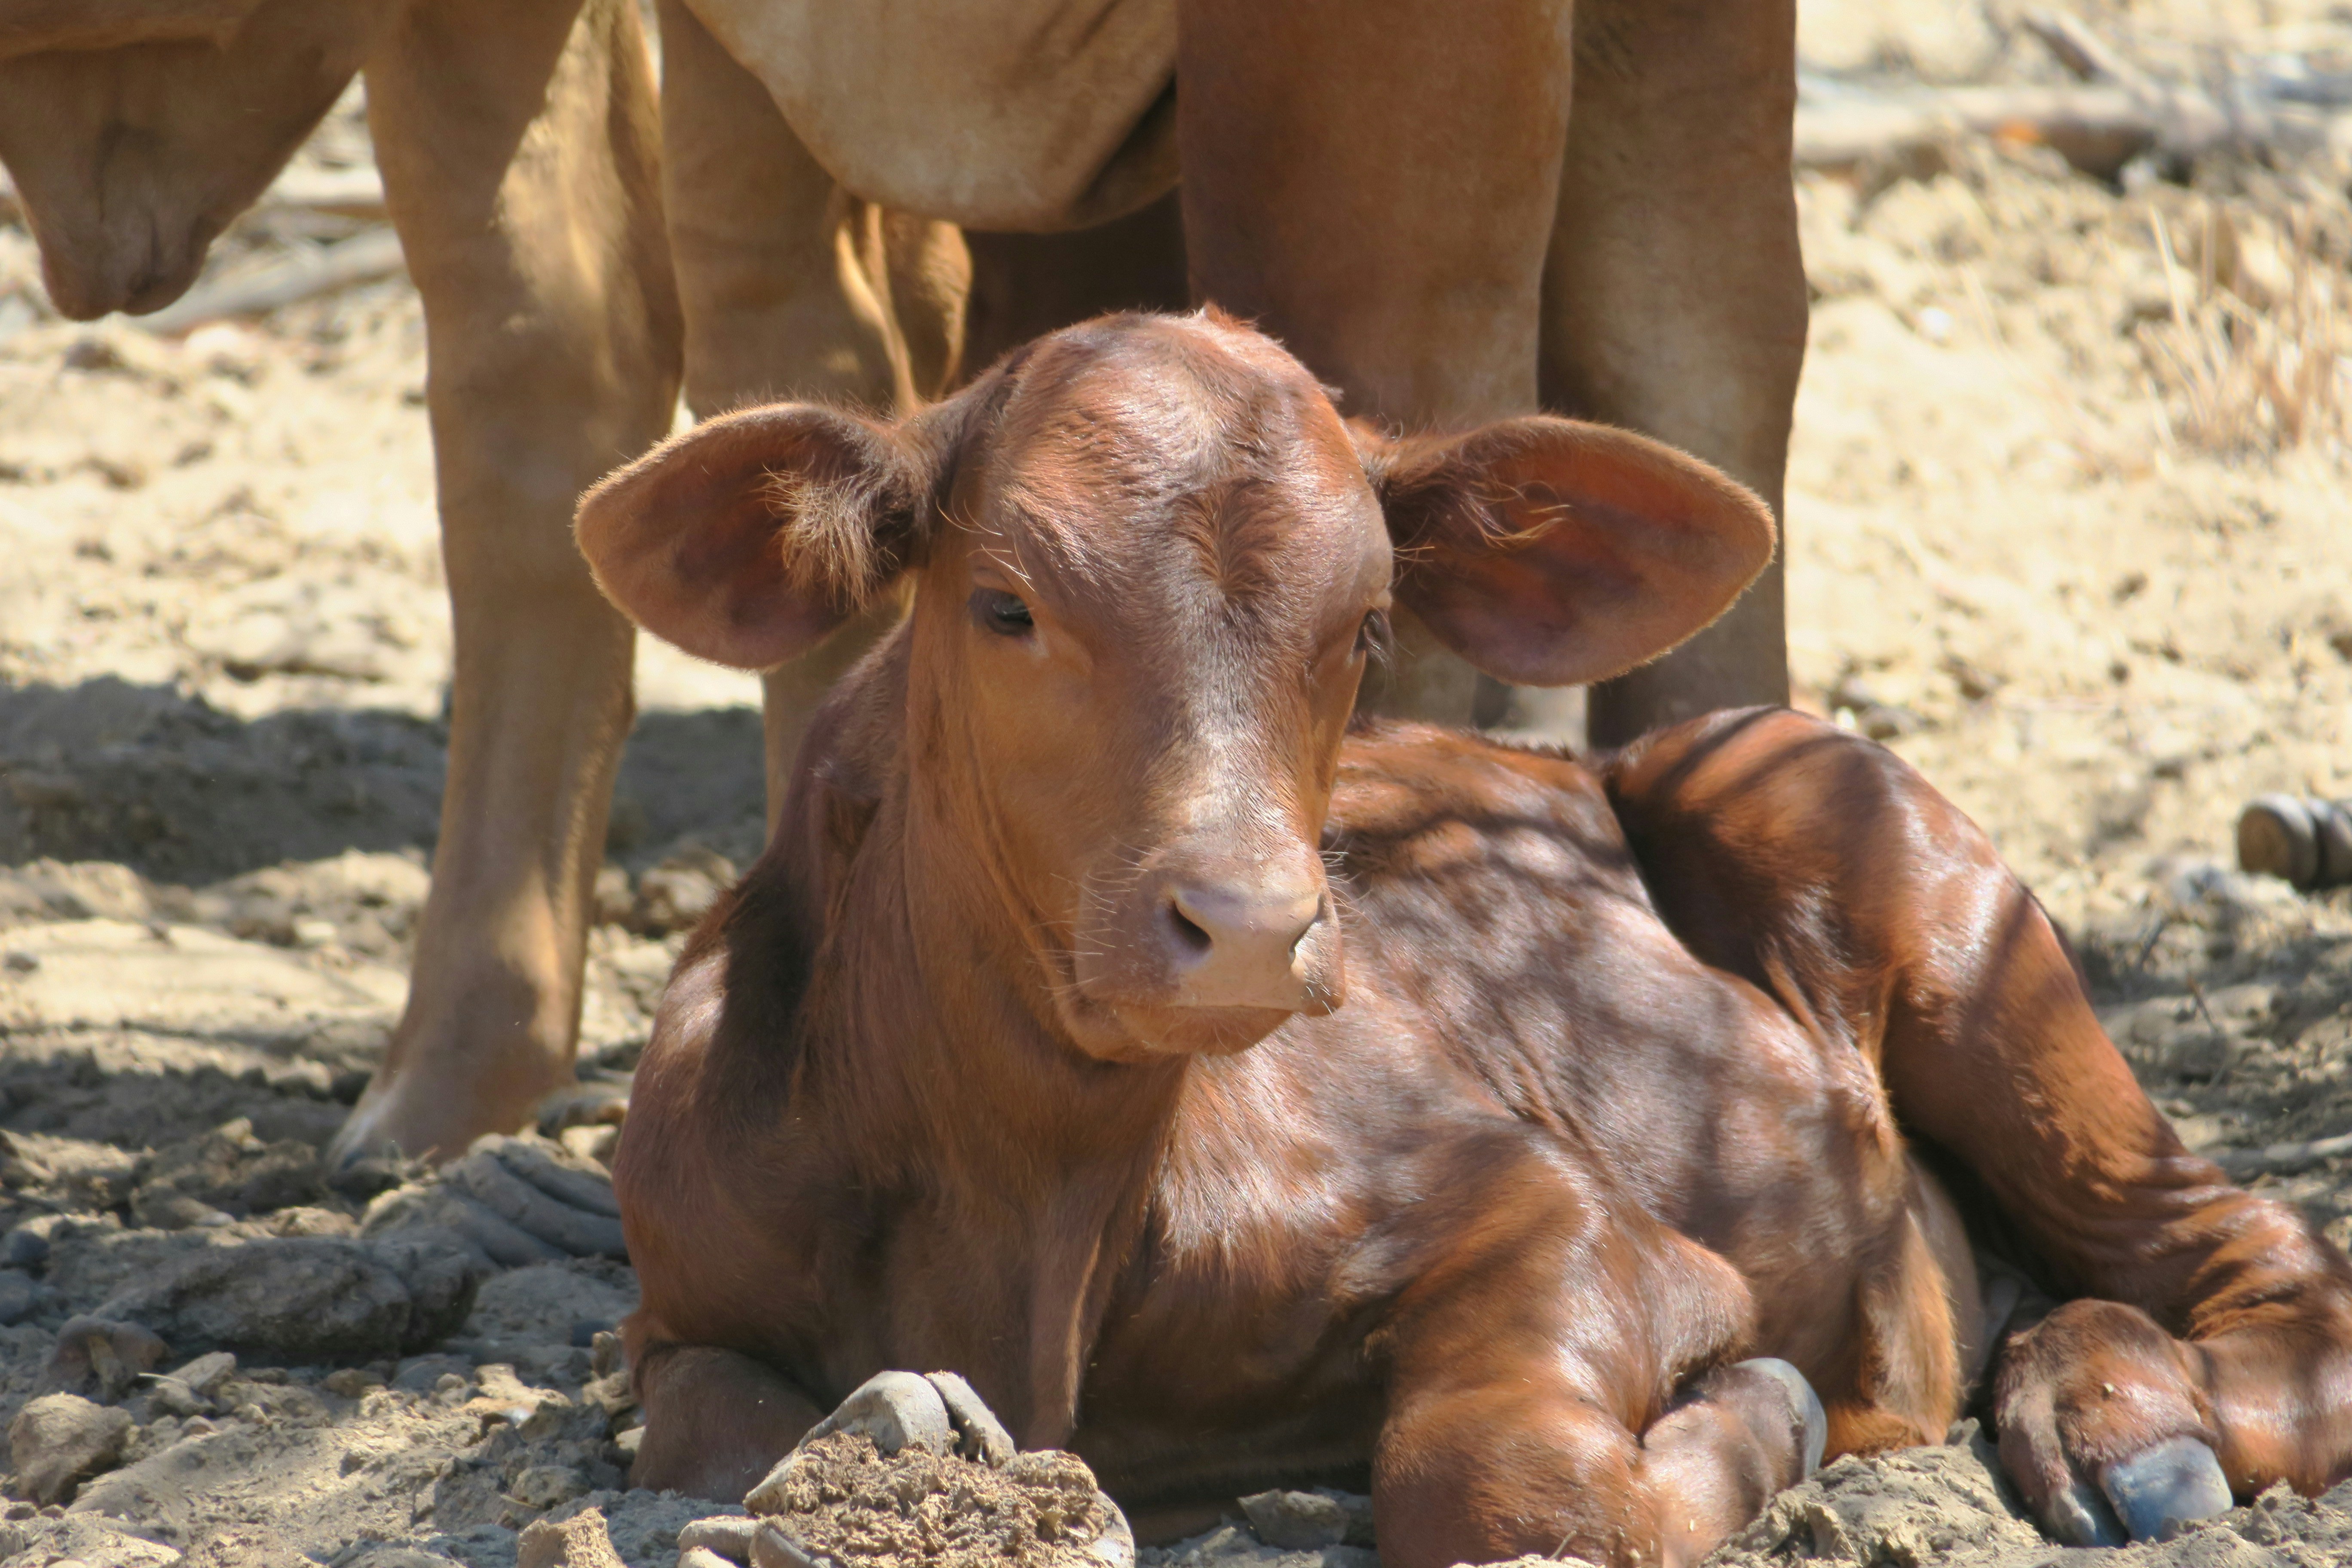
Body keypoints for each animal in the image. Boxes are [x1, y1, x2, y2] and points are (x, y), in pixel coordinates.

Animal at [577, 312, 2352, 1567]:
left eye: (1365, 626)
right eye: (1003, 601)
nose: (1249, 926)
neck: (1025, 1192)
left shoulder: (1566, 1221)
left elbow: (1484, 1472)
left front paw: (1764, 1410)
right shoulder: (674, 1296)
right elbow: (713, 1430)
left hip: (1928, 897)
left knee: (2249, 1240)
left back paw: (2135, 1425)